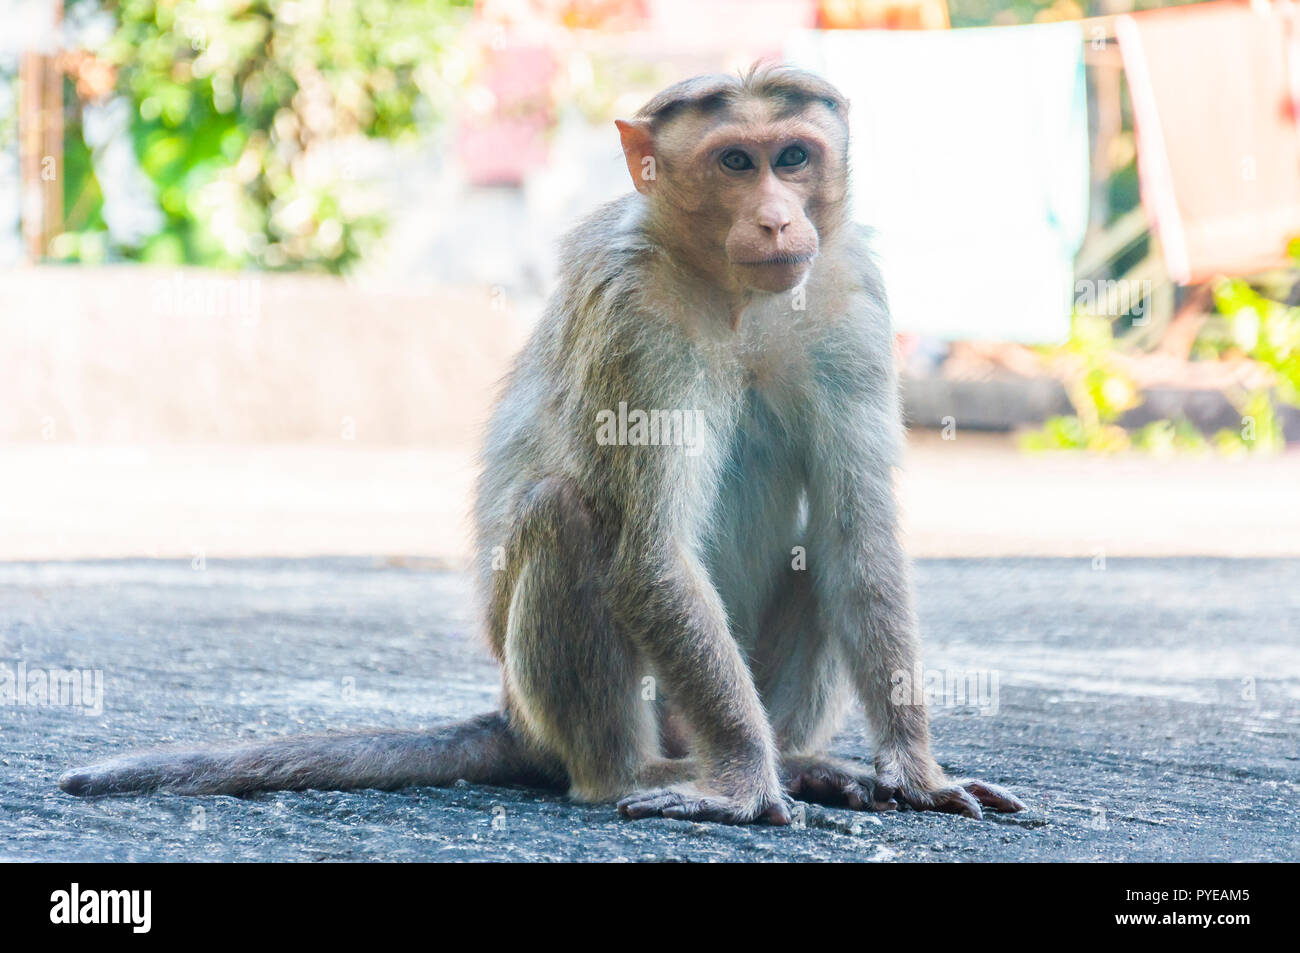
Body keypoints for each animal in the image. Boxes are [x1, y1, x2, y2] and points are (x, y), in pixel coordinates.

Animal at [59, 65, 1025, 825]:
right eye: (735, 162)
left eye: (792, 157)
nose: (782, 221)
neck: (730, 290)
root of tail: (512, 718)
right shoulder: (632, 316)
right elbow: (645, 551)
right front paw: (747, 779)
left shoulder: (852, 297)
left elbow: (859, 537)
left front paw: (916, 768)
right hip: (562, 706)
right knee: (569, 517)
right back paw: (647, 769)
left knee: (816, 548)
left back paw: (799, 757)